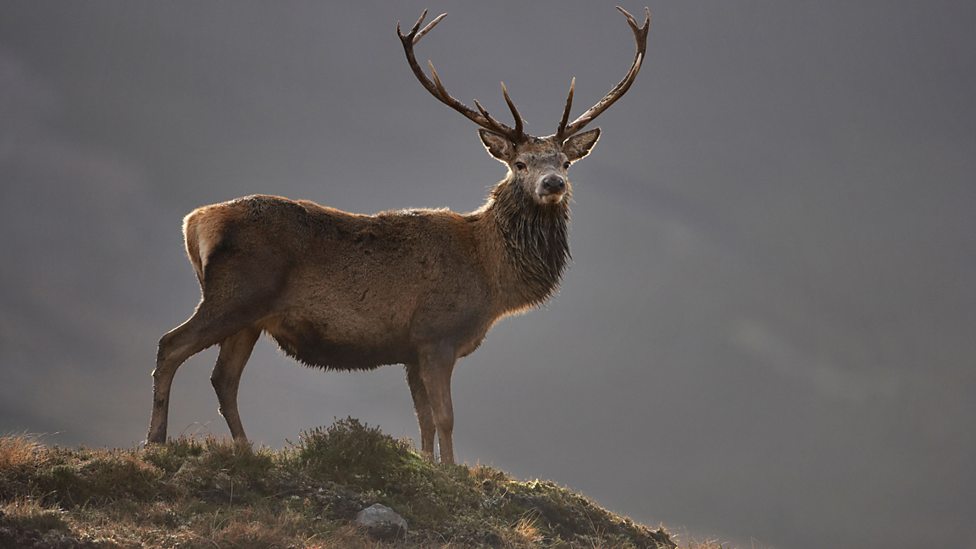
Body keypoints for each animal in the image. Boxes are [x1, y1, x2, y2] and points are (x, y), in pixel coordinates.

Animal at [147, 7, 650, 464]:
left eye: (565, 162)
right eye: (520, 163)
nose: (553, 184)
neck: (491, 277)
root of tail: (194, 222)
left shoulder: (410, 349)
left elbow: (423, 420)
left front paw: (428, 465)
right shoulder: (437, 333)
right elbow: (446, 418)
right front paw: (451, 472)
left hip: (251, 316)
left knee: (223, 378)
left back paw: (244, 449)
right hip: (236, 293)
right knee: (171, 345)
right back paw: (156, 440)